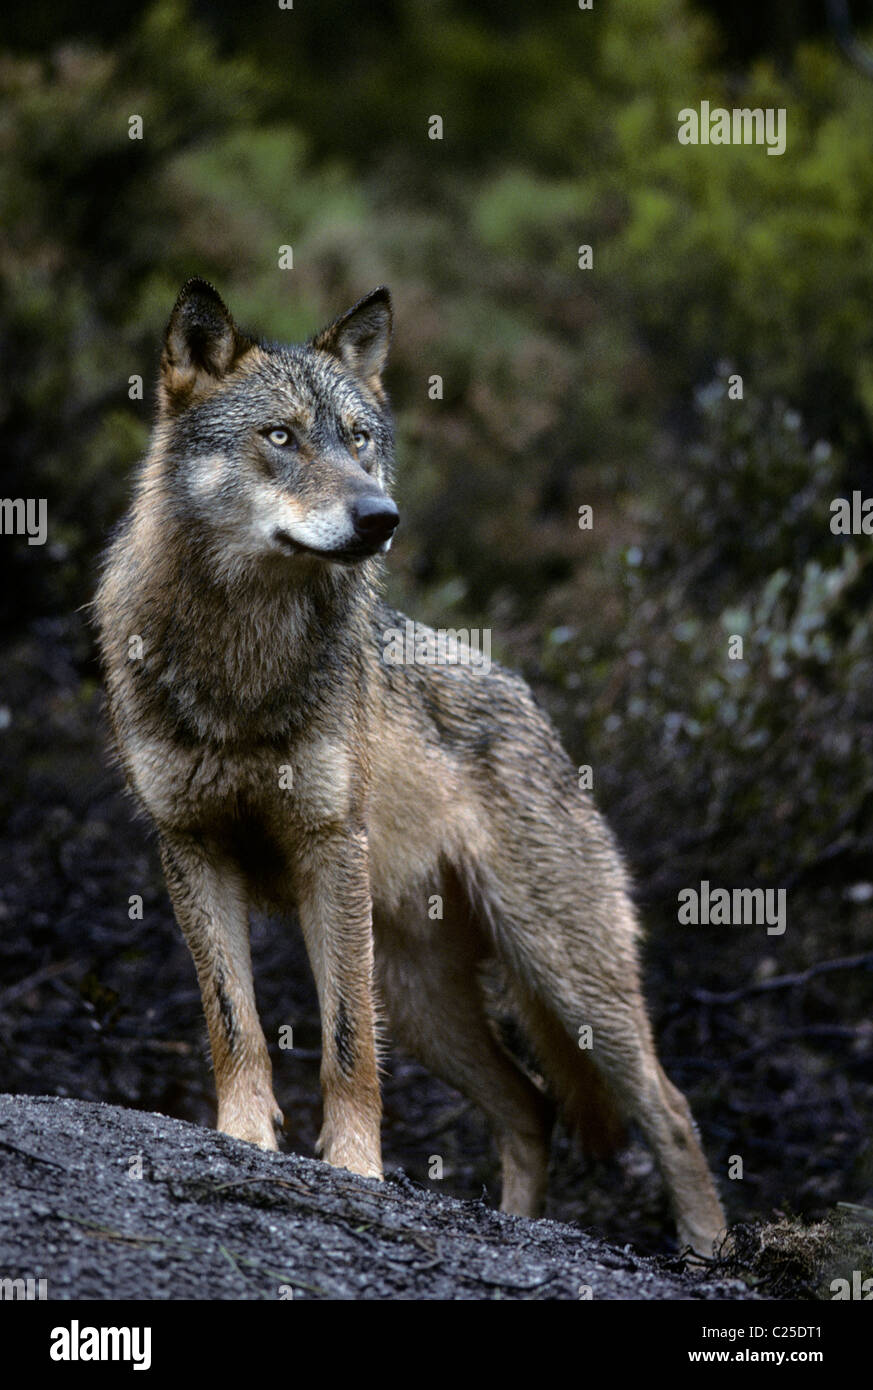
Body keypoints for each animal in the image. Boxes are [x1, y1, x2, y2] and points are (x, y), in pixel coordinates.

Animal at [95, 278, 727, 1256]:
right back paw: (517, 1222)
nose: (379, 519)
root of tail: (536, 710)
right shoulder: (192, 850)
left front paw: (354, 1169)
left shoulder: (329, 851)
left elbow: (347, 1046)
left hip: (564, 979)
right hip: (428, 1000)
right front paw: (243, 1140)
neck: (242, 662)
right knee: (530, 1109)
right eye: (281, 436)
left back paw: (708, 1254)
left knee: (669, 1108)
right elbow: (234, 1023)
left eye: (358, 438)